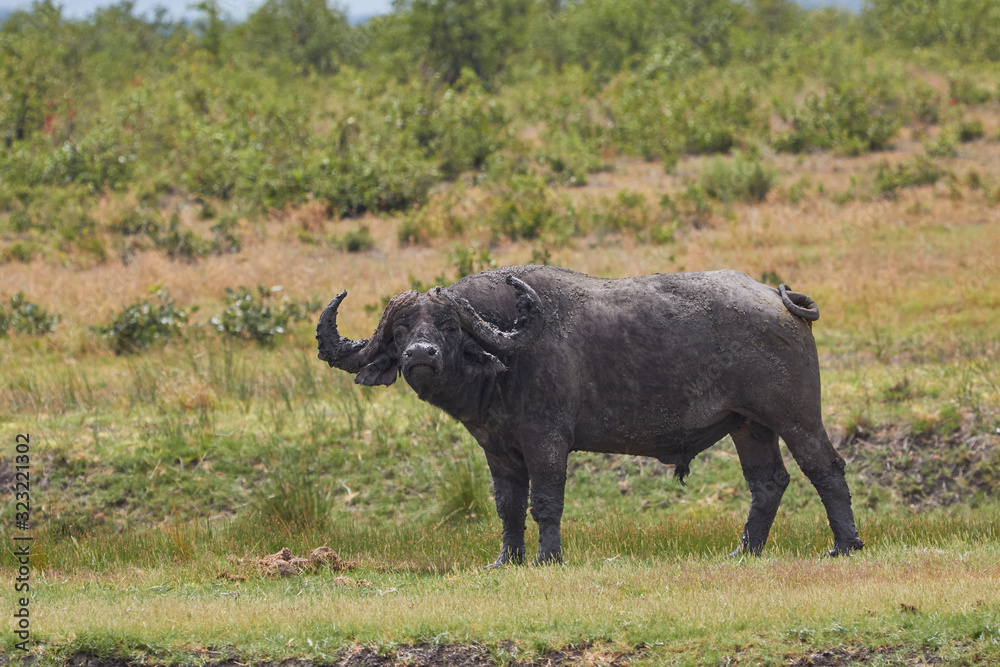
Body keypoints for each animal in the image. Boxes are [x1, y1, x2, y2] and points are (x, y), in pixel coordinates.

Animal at [316, 266, 864, 566]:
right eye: (402, 330)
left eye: (448, 326)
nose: (420, 355)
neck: (508, 359)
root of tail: (775, 296)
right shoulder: (498, 450)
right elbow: (508, 507)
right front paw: (506, 560)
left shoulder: (547, 442)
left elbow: (545, 504)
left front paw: (547, 558)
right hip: (749, 426)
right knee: (768, 482)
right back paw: (745, 550)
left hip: (794, 417)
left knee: (825, 469)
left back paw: (845, 545)